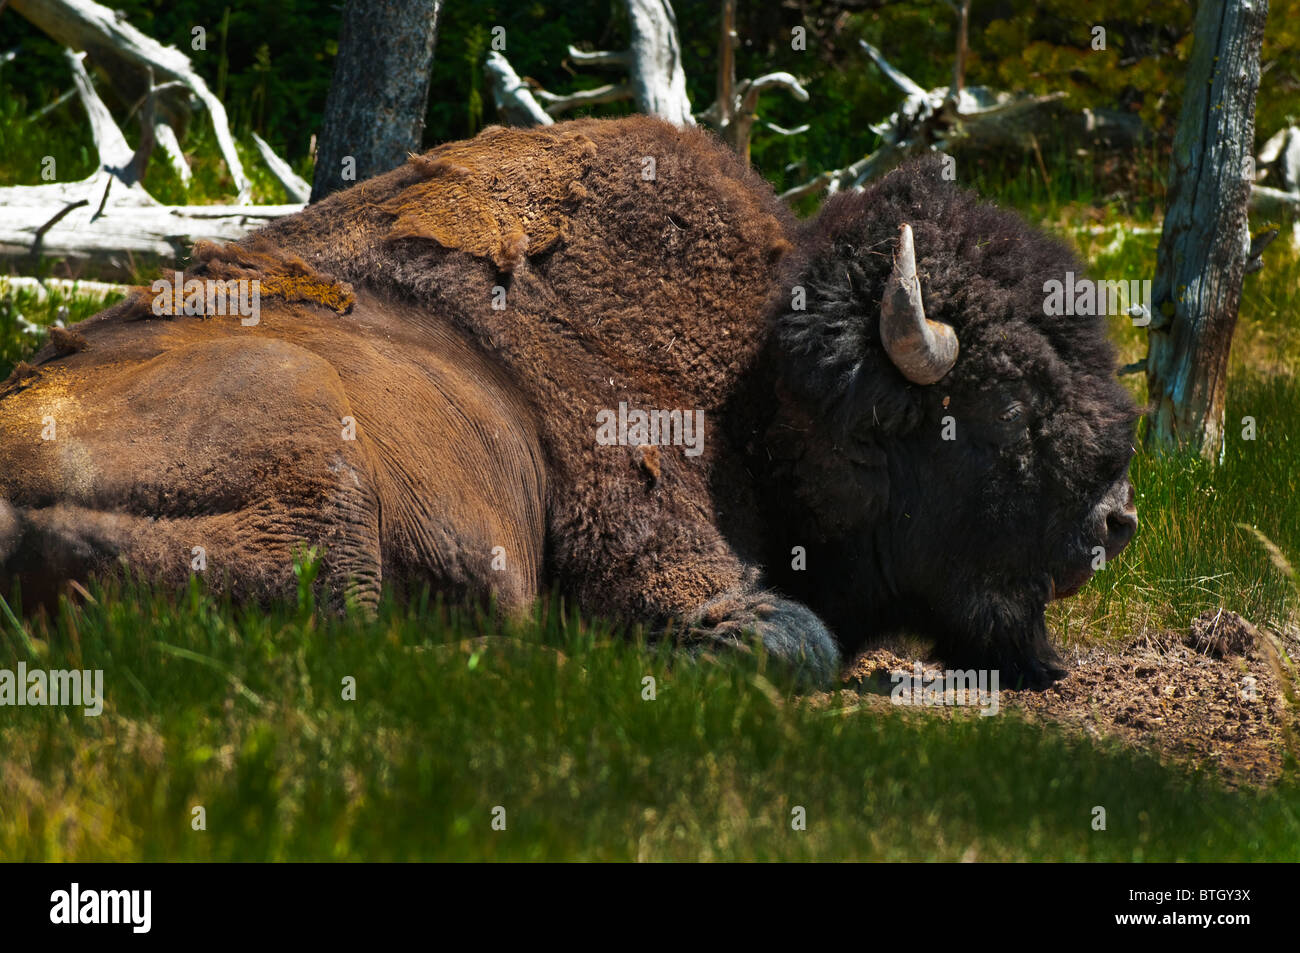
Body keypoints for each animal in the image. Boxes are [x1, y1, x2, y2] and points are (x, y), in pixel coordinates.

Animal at [0, 115, 1137, 688]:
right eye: (1005, 409)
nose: (1114, 519)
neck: (758, 387)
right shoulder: (658, 547)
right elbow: (788, 638)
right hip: (319, 471)